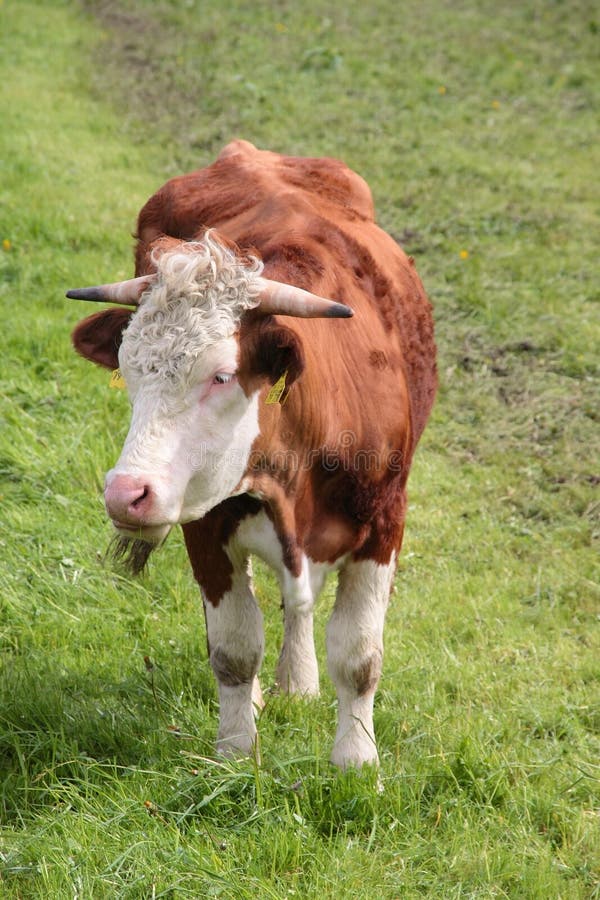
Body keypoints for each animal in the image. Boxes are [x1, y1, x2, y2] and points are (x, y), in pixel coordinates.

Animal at [68, 140, 437, 769]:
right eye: (128, 370)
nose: (125, 493)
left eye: (220, 375)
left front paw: (357, 763)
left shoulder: (386, 521)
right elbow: (235, 647)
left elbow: (359, 655)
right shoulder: (202, 520)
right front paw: (237, 753)